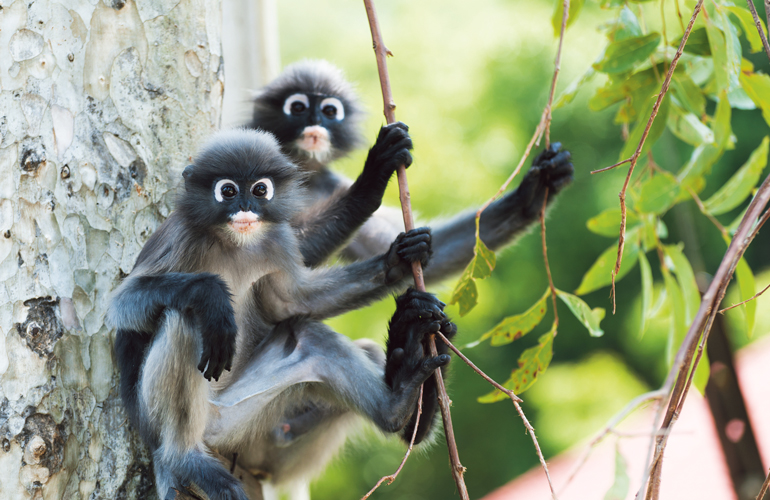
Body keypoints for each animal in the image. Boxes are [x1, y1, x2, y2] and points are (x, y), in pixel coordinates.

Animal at [108, 128, 457, 500]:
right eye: (227, 190)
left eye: (260, 190)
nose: (245, 207)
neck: (234, 242)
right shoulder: (180, 234)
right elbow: (120, 305)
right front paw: (212, 296)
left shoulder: (278, 239)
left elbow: (292, 302)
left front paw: (395, 249)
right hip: (170, 416)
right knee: (185, 318)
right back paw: (186, 457)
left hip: (235, 420)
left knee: (307, 337)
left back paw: (399, 404)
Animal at [248, 60, 575, 275]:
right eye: (298, 108)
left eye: (329, 111)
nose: (315, 124)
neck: (305, 173)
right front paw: (374, 175)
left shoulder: (330, 184)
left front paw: (532, 192)